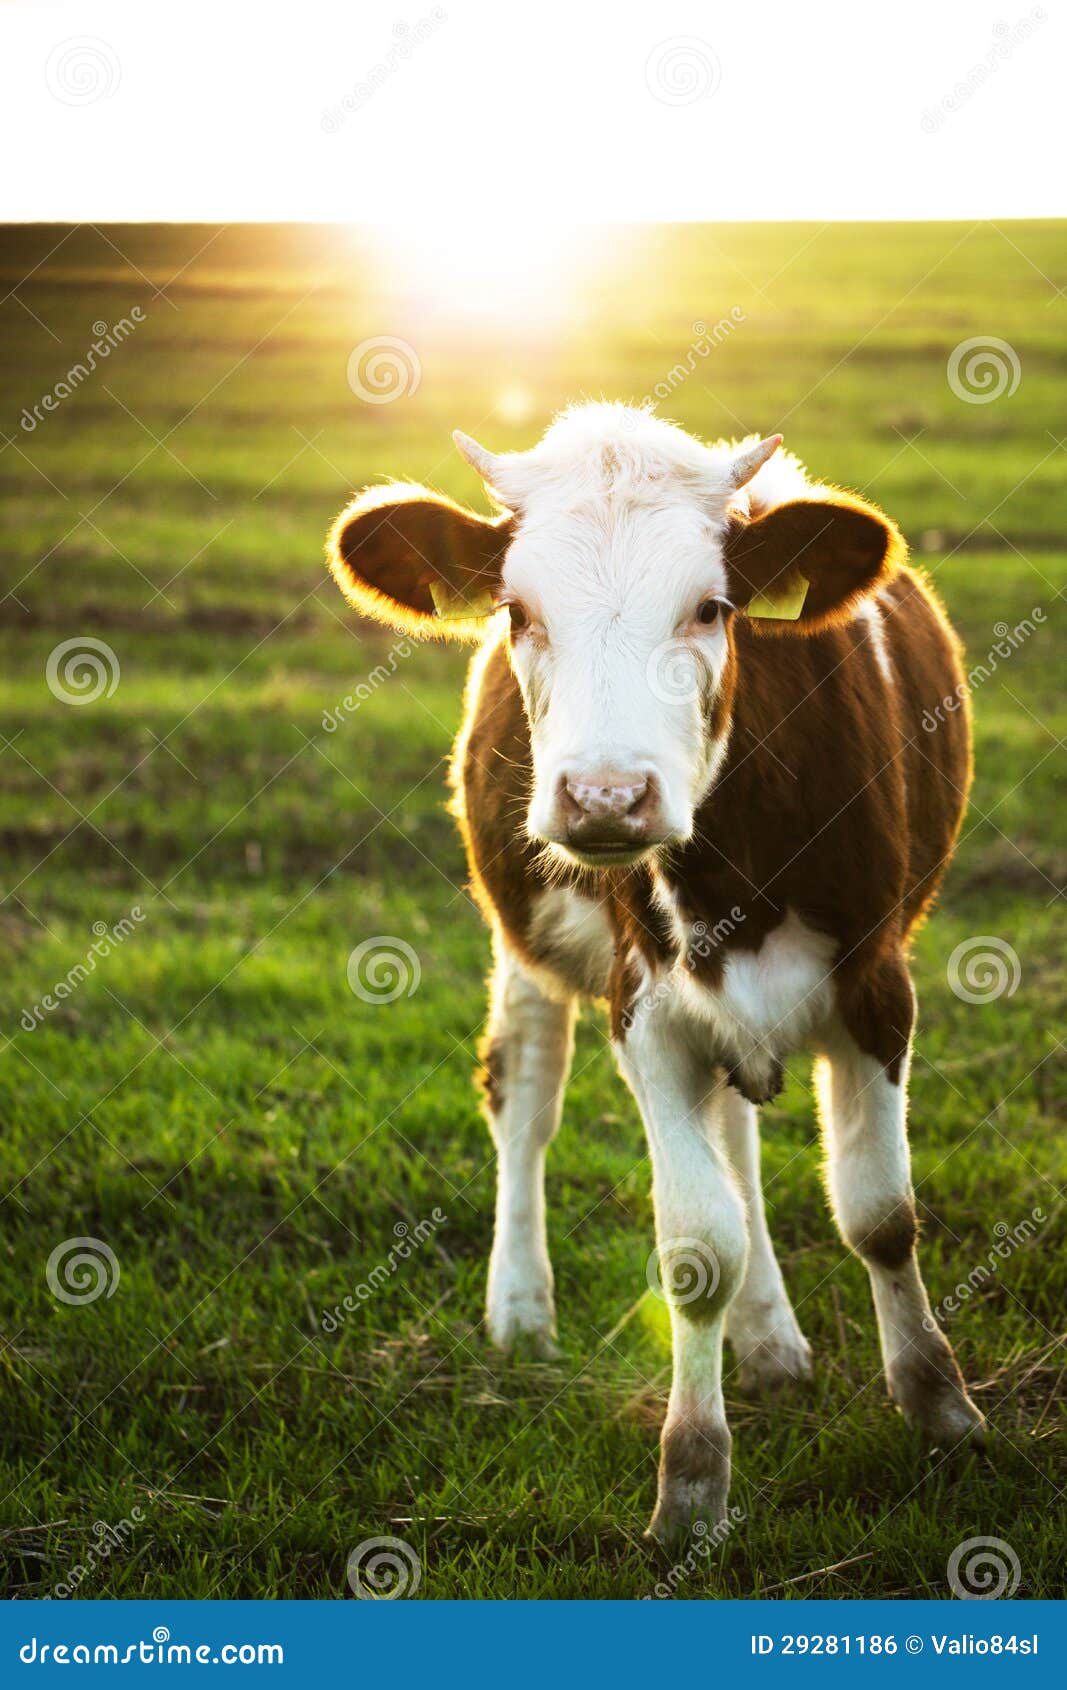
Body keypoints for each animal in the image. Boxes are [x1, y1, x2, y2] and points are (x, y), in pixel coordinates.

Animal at [326, 403, 985, 1546]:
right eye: (517, 610)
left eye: (711, 608)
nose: (603, 797)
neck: (737, 868)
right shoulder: (645, 1008)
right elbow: (695, 1244)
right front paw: (690, 1484)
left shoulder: (876, 984)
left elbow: (878, 1212)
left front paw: (939, 1407)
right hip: (525, 945)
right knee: (524, 1098)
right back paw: (522, 1309)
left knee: (738, 1137)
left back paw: (770, 1342)